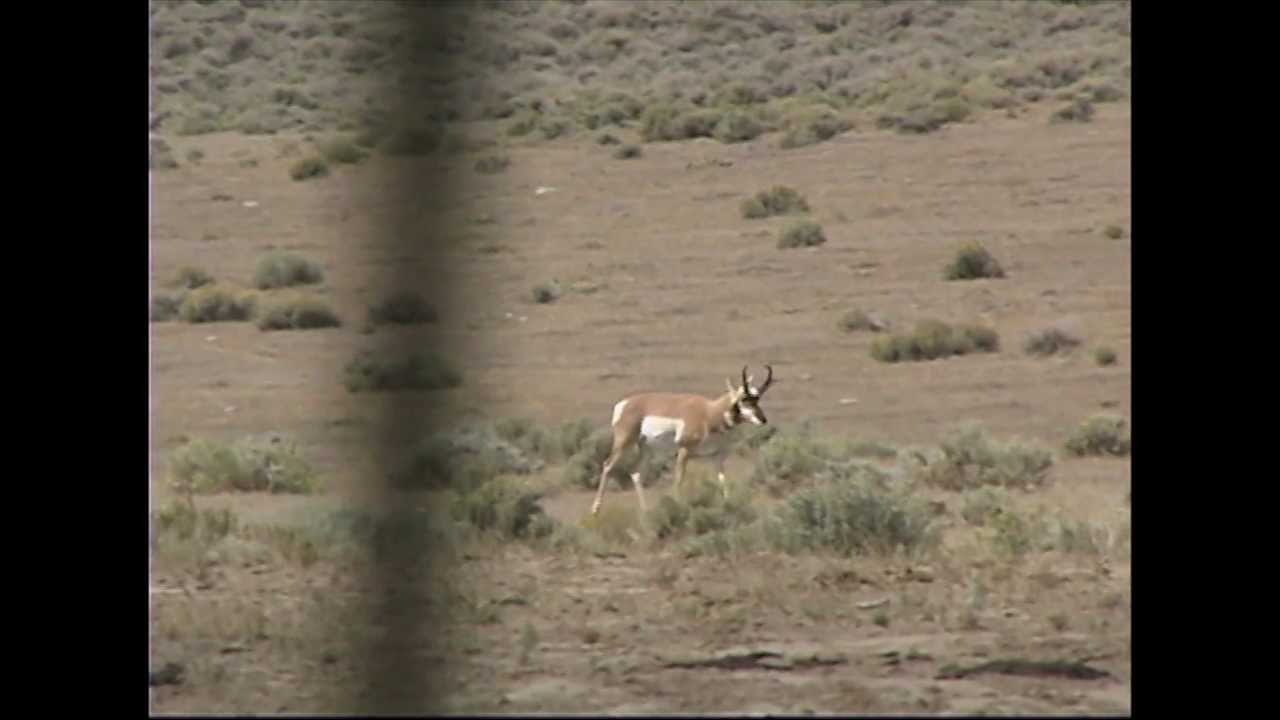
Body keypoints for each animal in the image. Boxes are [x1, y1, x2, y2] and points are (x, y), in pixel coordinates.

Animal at [591, 365, 775, 516]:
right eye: (744, 399)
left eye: (757, 399)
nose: (763, 420)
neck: (709, 413)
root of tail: (624, 403)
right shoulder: (684, 451)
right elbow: (679, 480)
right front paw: (677, 507)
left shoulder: (717, 457)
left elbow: (722, 480)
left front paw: (729, 505)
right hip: (624, 443)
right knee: (607, 465)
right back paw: (595, 510)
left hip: (647, 449)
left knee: (636, 474)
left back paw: (646, 511)